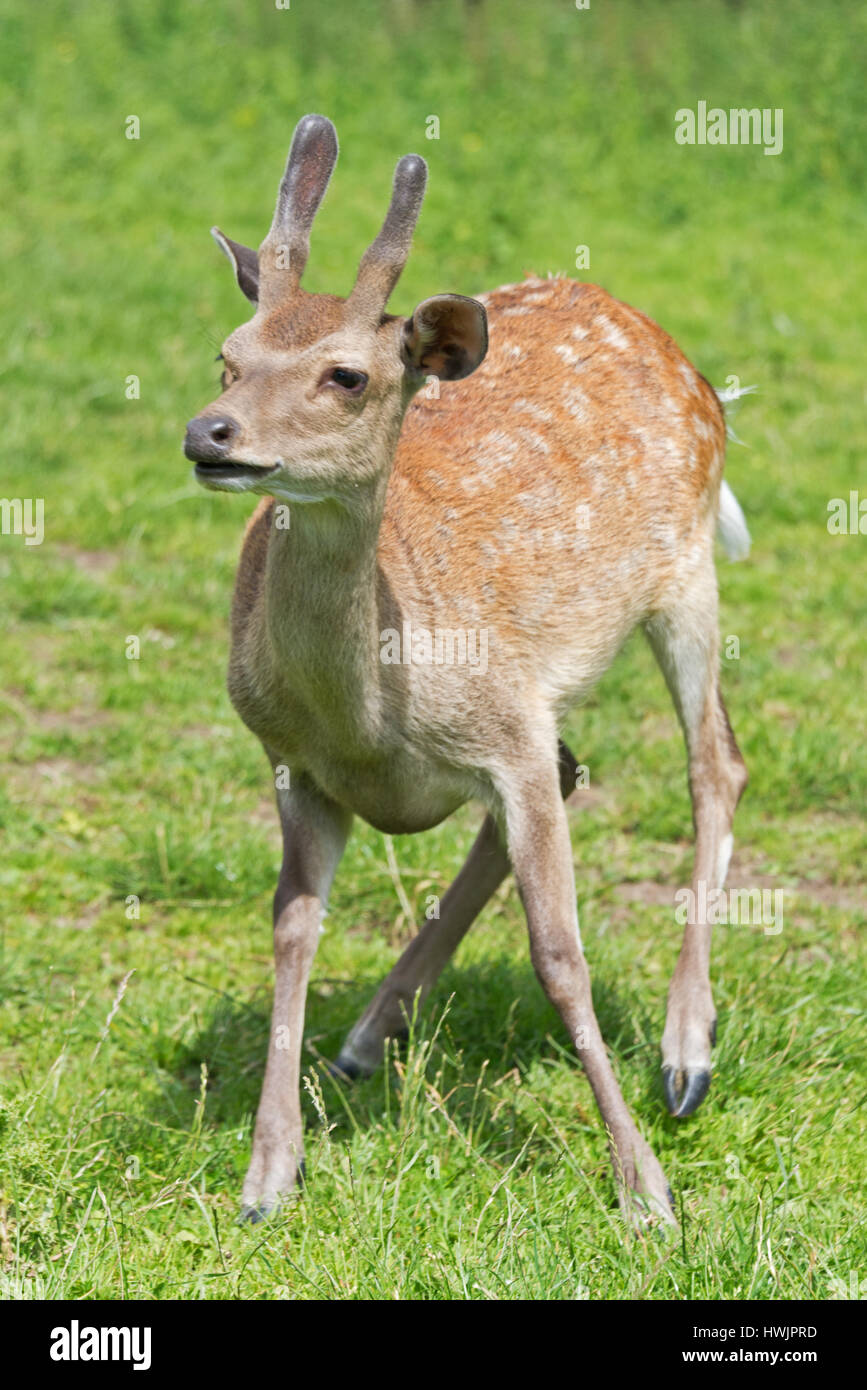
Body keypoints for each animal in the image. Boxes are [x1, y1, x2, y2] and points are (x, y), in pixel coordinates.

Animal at [183, 114, 750, 1226]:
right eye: (228, 358)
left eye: (347, 375)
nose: (207, 434)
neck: (364, 716)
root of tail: (676, 351)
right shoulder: (292, 761)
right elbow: (290, 927)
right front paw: (268, 1174)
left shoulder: (509, 735)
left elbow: (560, 956)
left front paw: (646, 1192)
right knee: (591, 768)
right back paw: (367, 1037)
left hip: (688, 573)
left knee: (717, 762)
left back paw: (685, 1054)